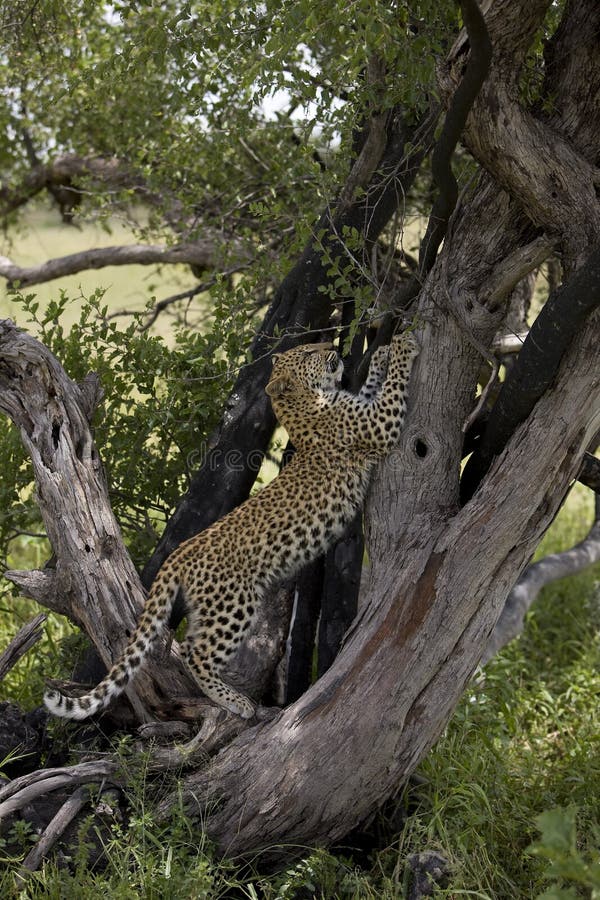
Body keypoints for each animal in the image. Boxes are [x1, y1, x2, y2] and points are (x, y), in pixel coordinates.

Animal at [44, 331, 419, 721]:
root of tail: (181, 551)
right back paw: (237, 701)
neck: (305, 406)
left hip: (208, 609)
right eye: (308, 353)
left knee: (190, 643)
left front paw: (381, 355)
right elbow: (391, 390)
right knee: (196, 654)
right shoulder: (377, 426)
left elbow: (371, 387)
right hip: (233, 604)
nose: (332, 346)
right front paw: (403, 347)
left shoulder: (363, 410)